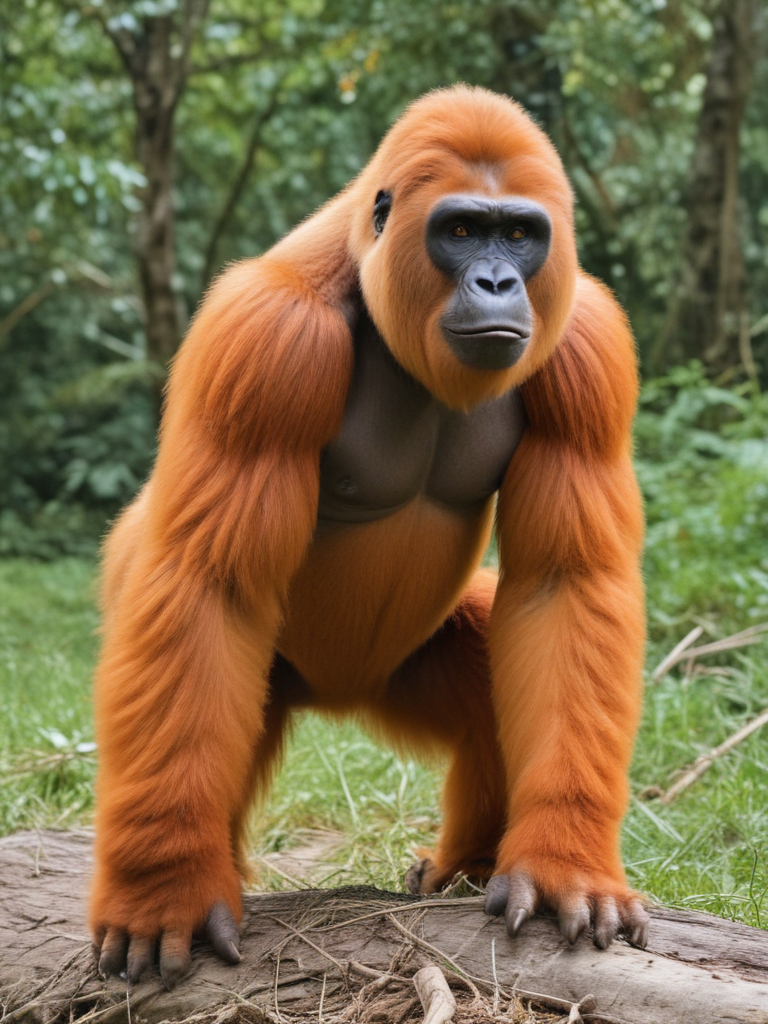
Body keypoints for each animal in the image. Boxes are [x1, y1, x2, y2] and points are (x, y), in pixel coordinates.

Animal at [90, 85, 650, 988]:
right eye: (461, 231)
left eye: (519, 235)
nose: (498, 281)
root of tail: (337, 692)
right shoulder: (264, 336)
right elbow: (209, 589)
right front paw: (162, 891)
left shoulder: (590, 345)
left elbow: (565, 583)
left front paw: (565, 858)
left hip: (401, 669)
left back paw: (469, 862)